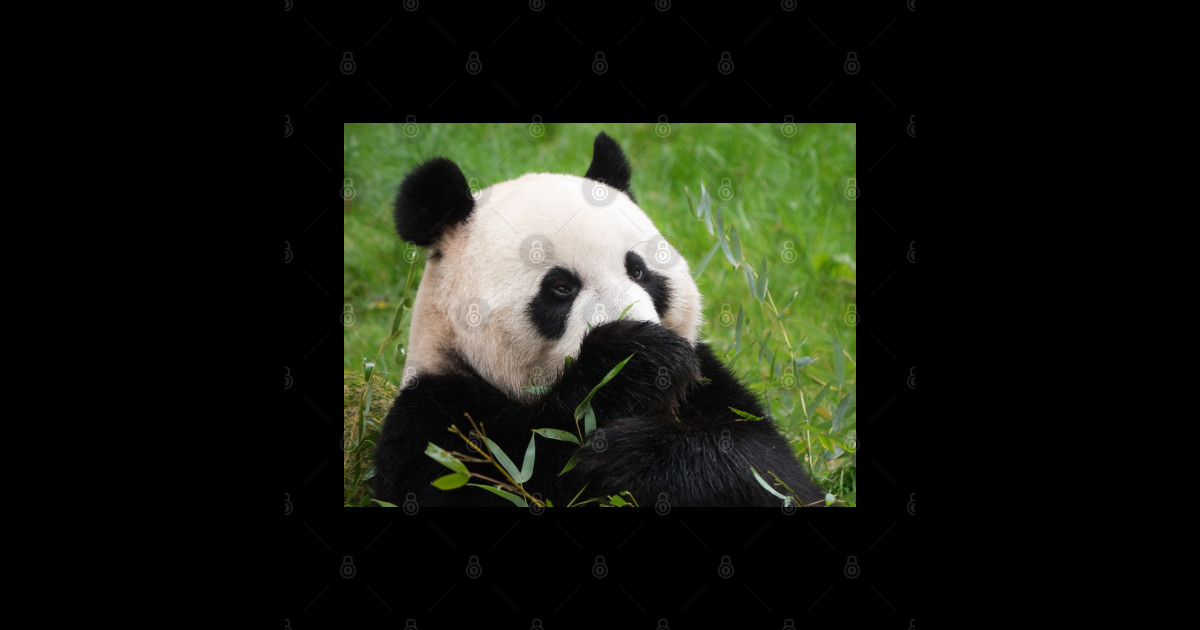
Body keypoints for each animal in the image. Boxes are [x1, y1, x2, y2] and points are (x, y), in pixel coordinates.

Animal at [371, 132, 826, 507]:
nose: (638, 323)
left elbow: (768, 469)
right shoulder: (434, 413)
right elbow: (496, 478)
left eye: (638, 270)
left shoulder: (708, 382)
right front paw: (632, 360)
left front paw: (633, 453)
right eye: (561, 287)